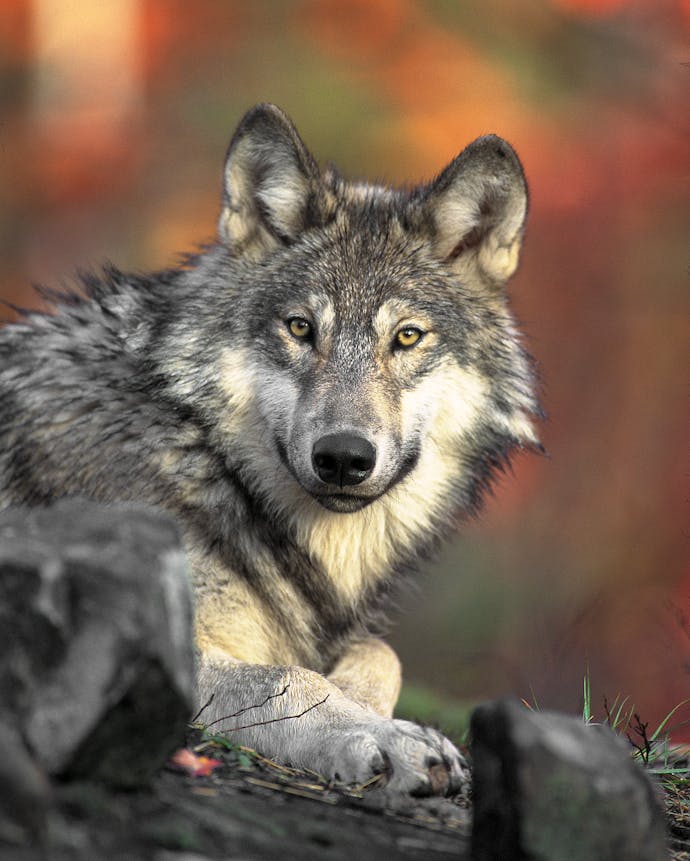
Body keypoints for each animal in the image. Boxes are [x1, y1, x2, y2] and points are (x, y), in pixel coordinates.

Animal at [0, 104, 539, 796]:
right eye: (301, 328)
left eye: (407, 337)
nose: (343, 457)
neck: (204, 457)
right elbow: (288, 678)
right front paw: (385, 737)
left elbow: (380, 653)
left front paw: (367, 706)